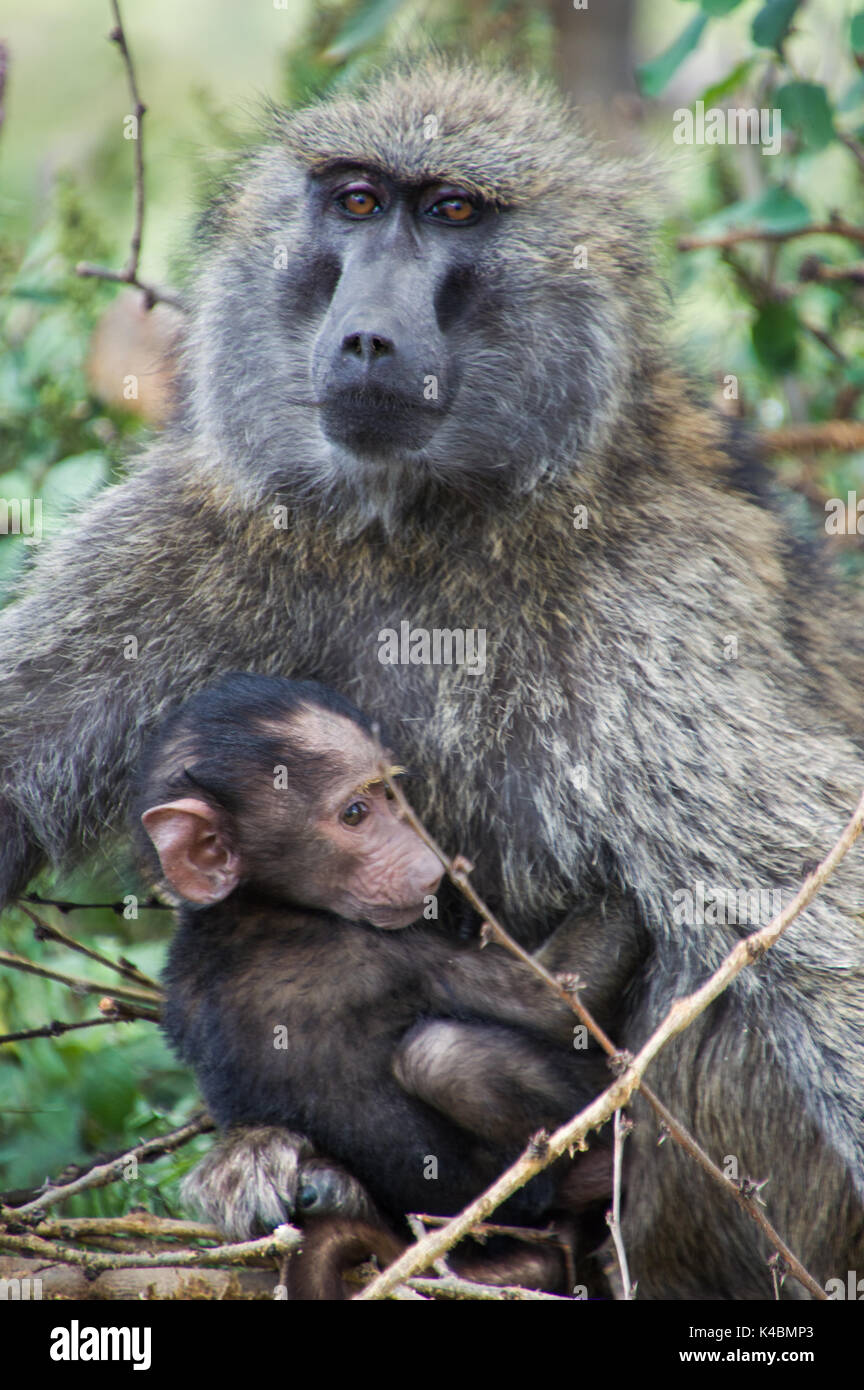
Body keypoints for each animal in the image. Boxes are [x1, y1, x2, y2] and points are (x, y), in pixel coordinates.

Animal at [136, 672, 617, 1295]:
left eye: (391, 796)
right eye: (356, 813)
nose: (427, 859)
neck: (249, 906)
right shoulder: (380, 952)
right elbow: (555, 997)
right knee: (444, 1057)